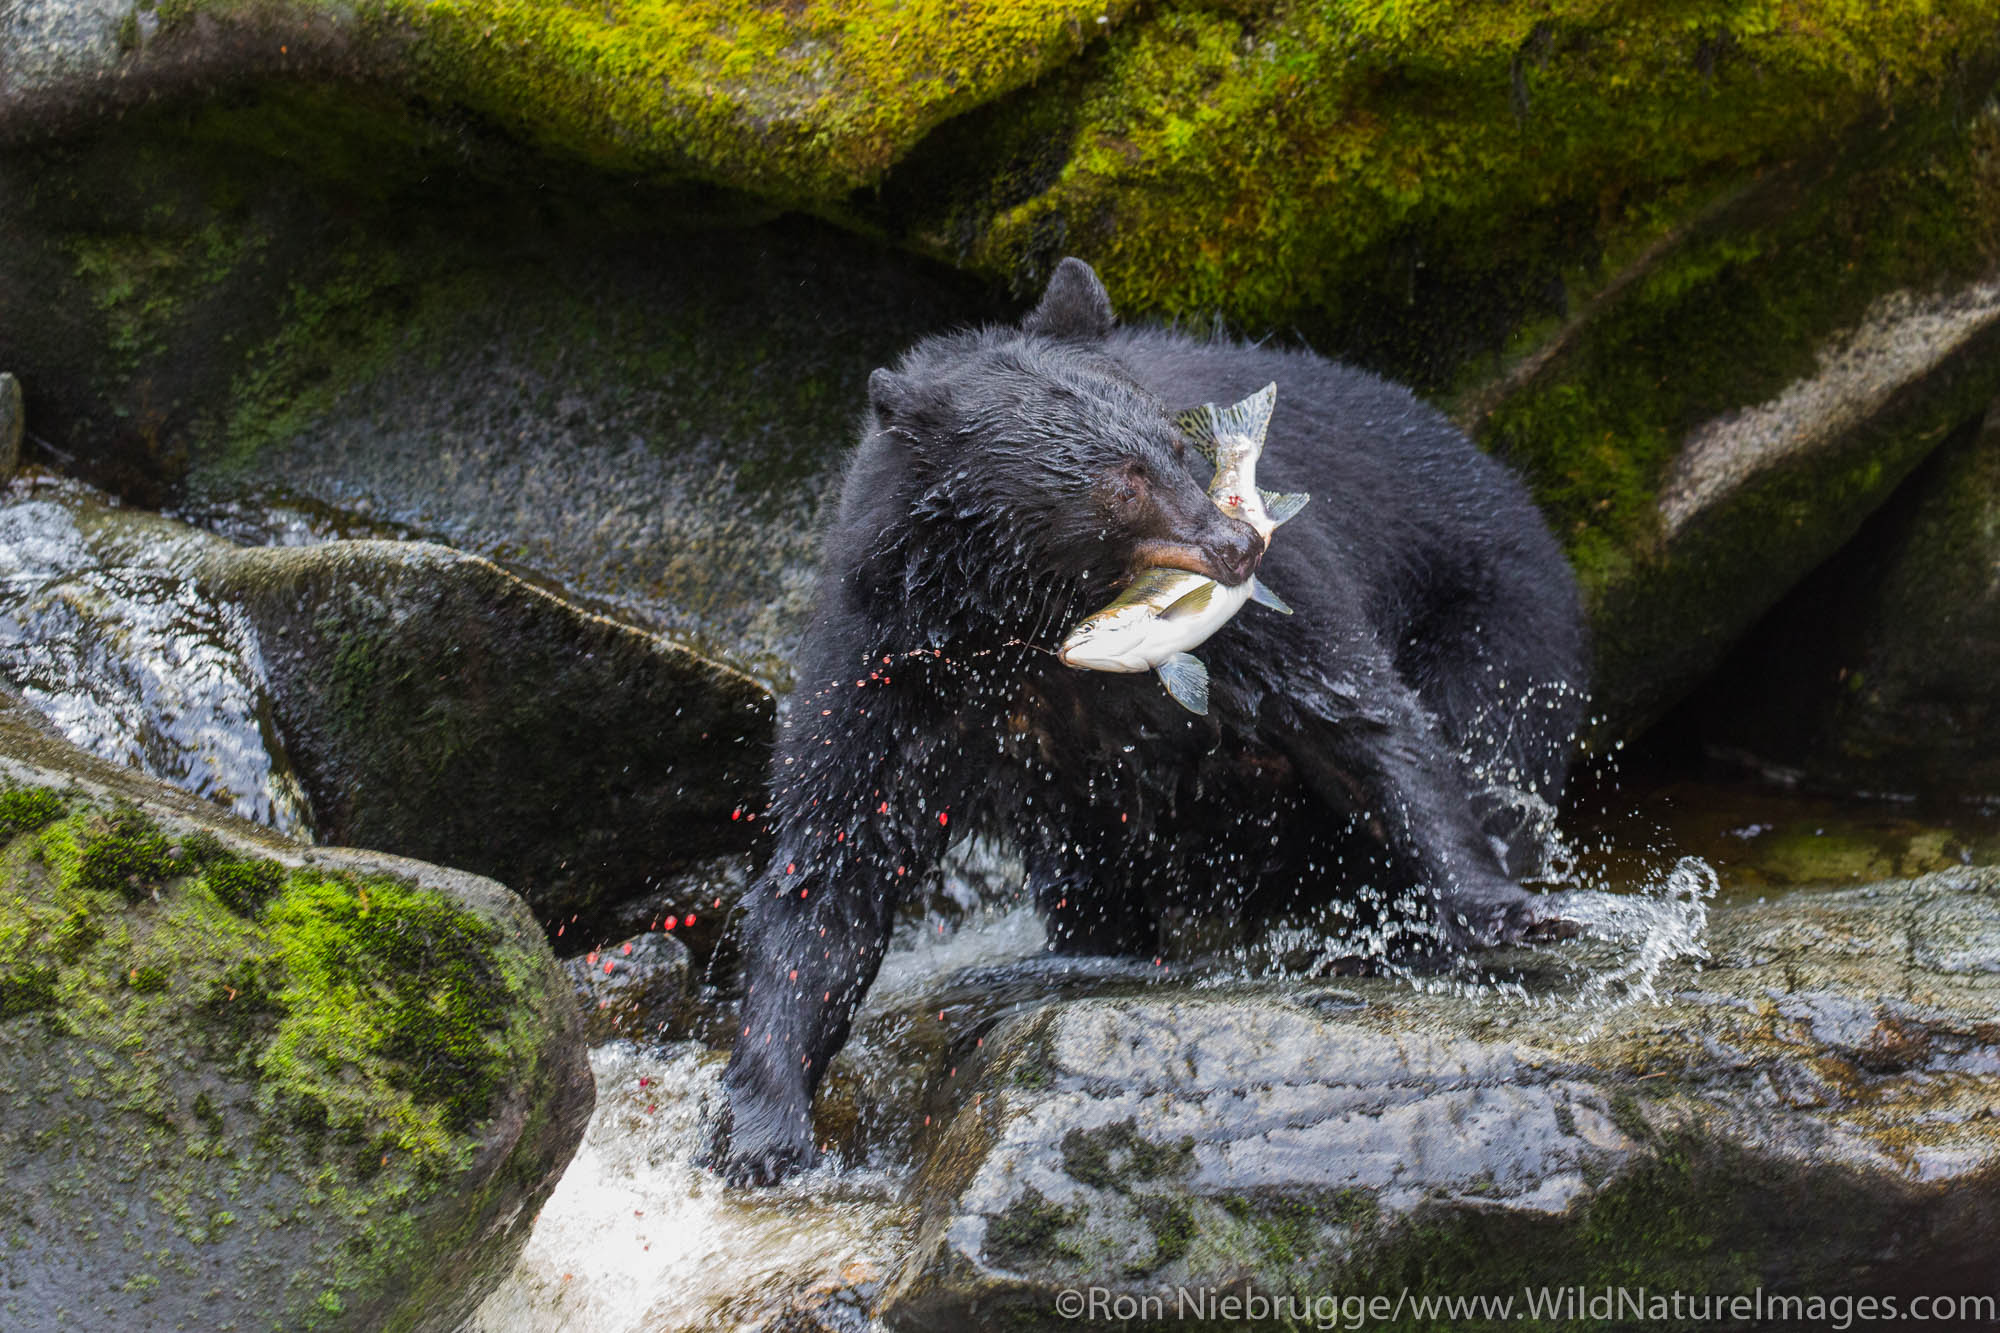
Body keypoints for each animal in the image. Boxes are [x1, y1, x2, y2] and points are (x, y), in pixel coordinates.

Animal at [720, 258, 1587, 1185]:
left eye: (1177, 447)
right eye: (1120, 481)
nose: (1237, 545)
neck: (1029, 616)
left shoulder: (1263, 611)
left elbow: (1359, 718)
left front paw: (1500, 906)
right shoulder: (885, 659)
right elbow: (835, 859)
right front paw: (763, 1129)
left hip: (1496, 615)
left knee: (1490, 735)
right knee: (1079, 858)